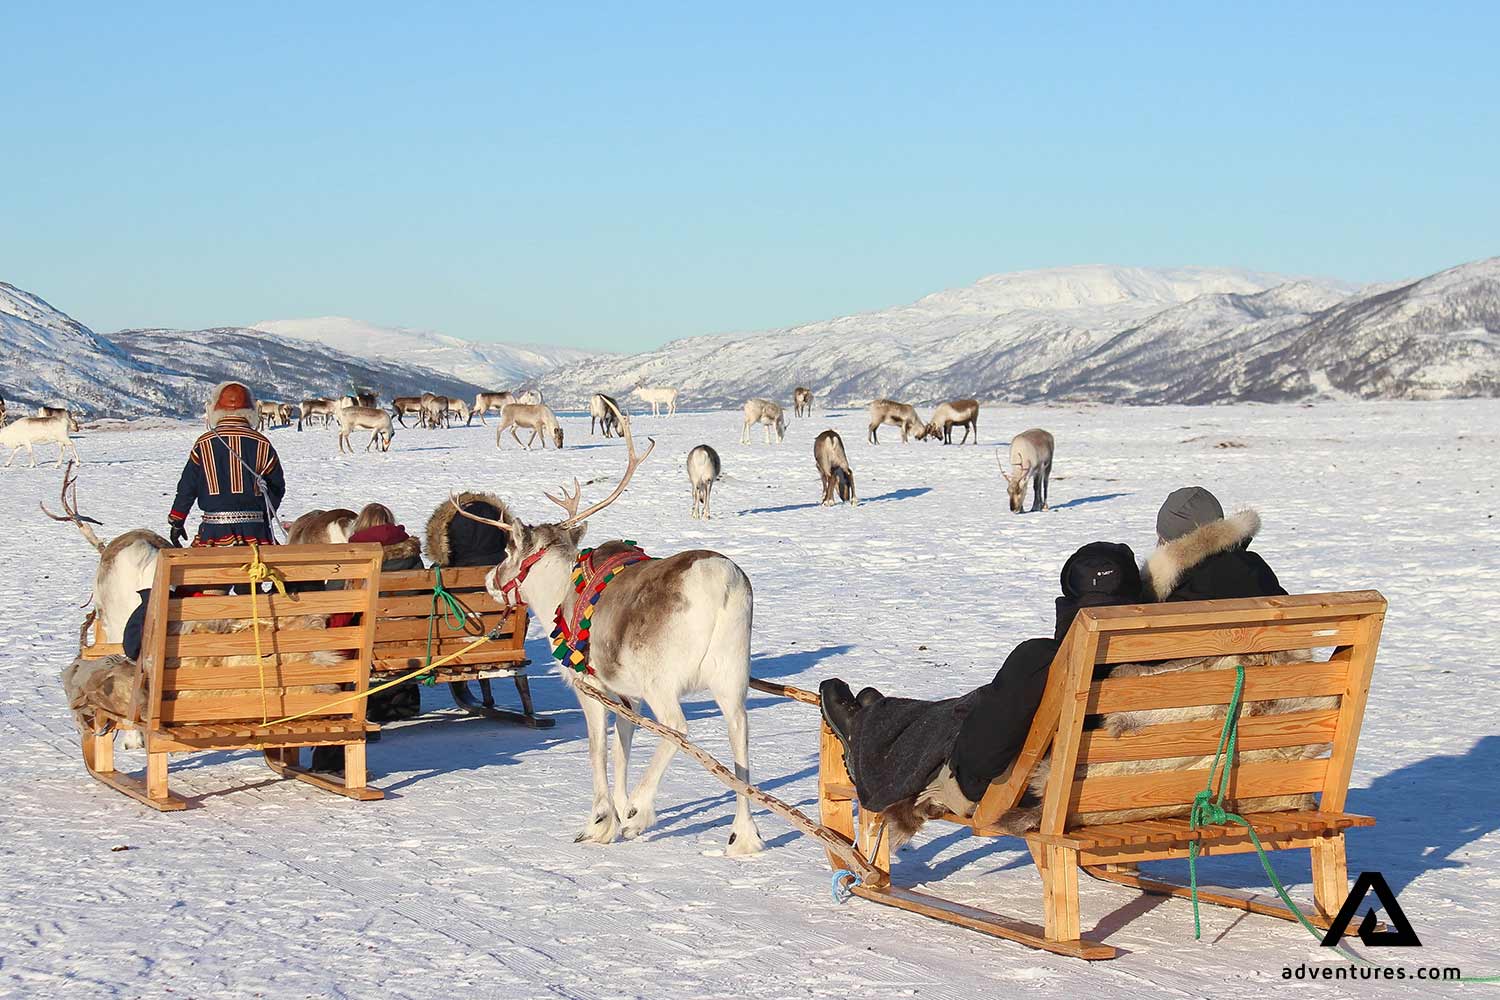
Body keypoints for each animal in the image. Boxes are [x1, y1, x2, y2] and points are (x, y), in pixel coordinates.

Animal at [452, 415, 764, 856]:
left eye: (508, 550)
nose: (488, 581)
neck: (556, 592)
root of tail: (723, 584)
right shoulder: (626, 695)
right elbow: (622, 746)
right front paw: (614, 812)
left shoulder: (591, 686)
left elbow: (596, 749)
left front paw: (602, 820)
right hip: (732, 677)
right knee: (740, 738)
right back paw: (745, 834)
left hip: (662, 682)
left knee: (677, 728)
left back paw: (639, 810)